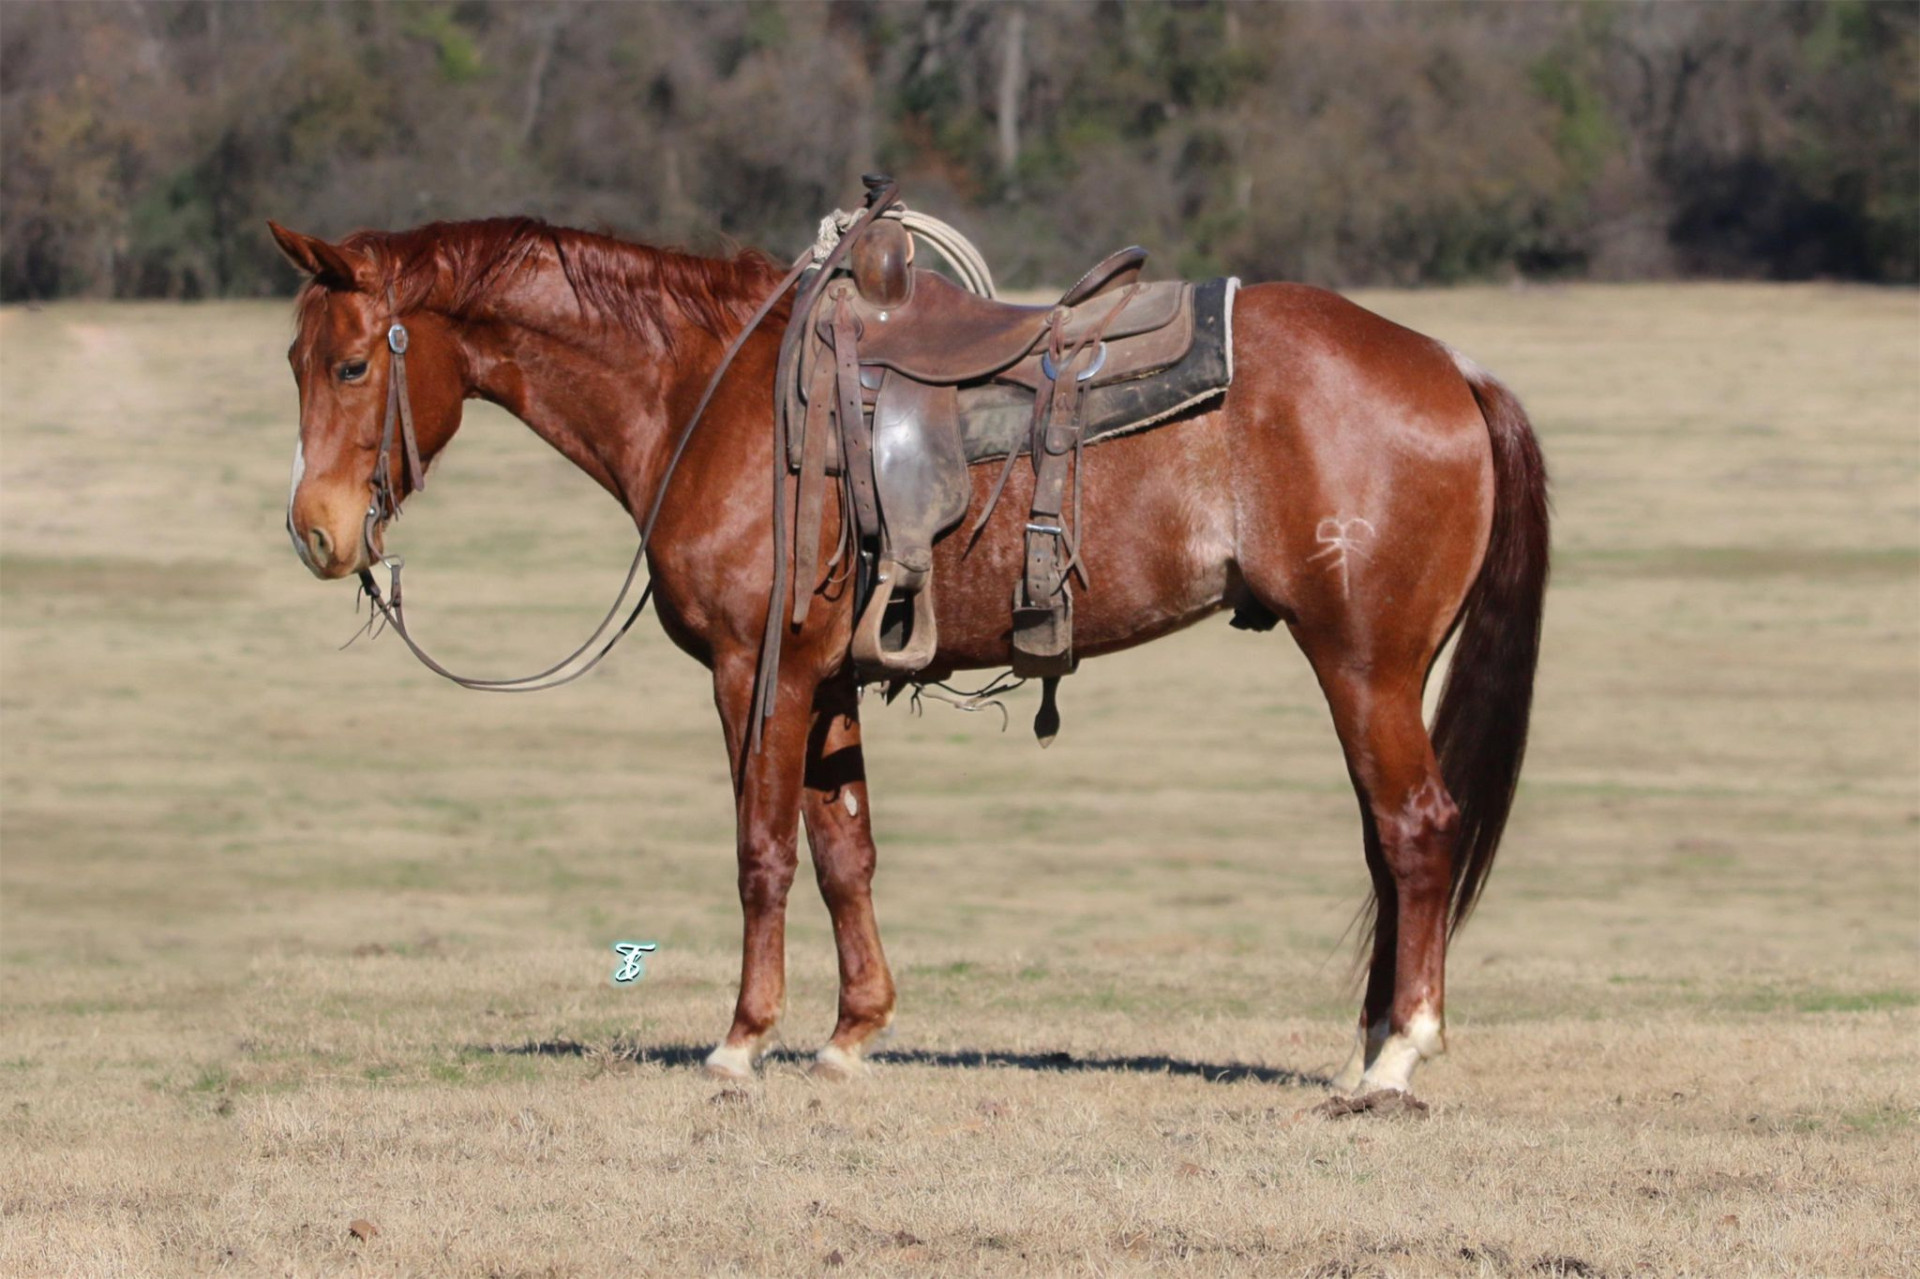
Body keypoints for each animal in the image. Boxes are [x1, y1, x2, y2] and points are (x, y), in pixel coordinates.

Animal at [269, 213, 1548, 1095]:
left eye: (351, 366)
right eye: (292, 362)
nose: (314, 533)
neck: (708, 391)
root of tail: (1453, 367)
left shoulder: (756, 672)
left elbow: (763, 853)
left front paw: (742, 1039)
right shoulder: (828, 679)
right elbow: (846, 853)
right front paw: (852, 1032)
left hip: (1365, 666)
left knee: (1416, 829)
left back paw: (1399, 1055)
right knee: (1386, 842)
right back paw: (1370, 1042)